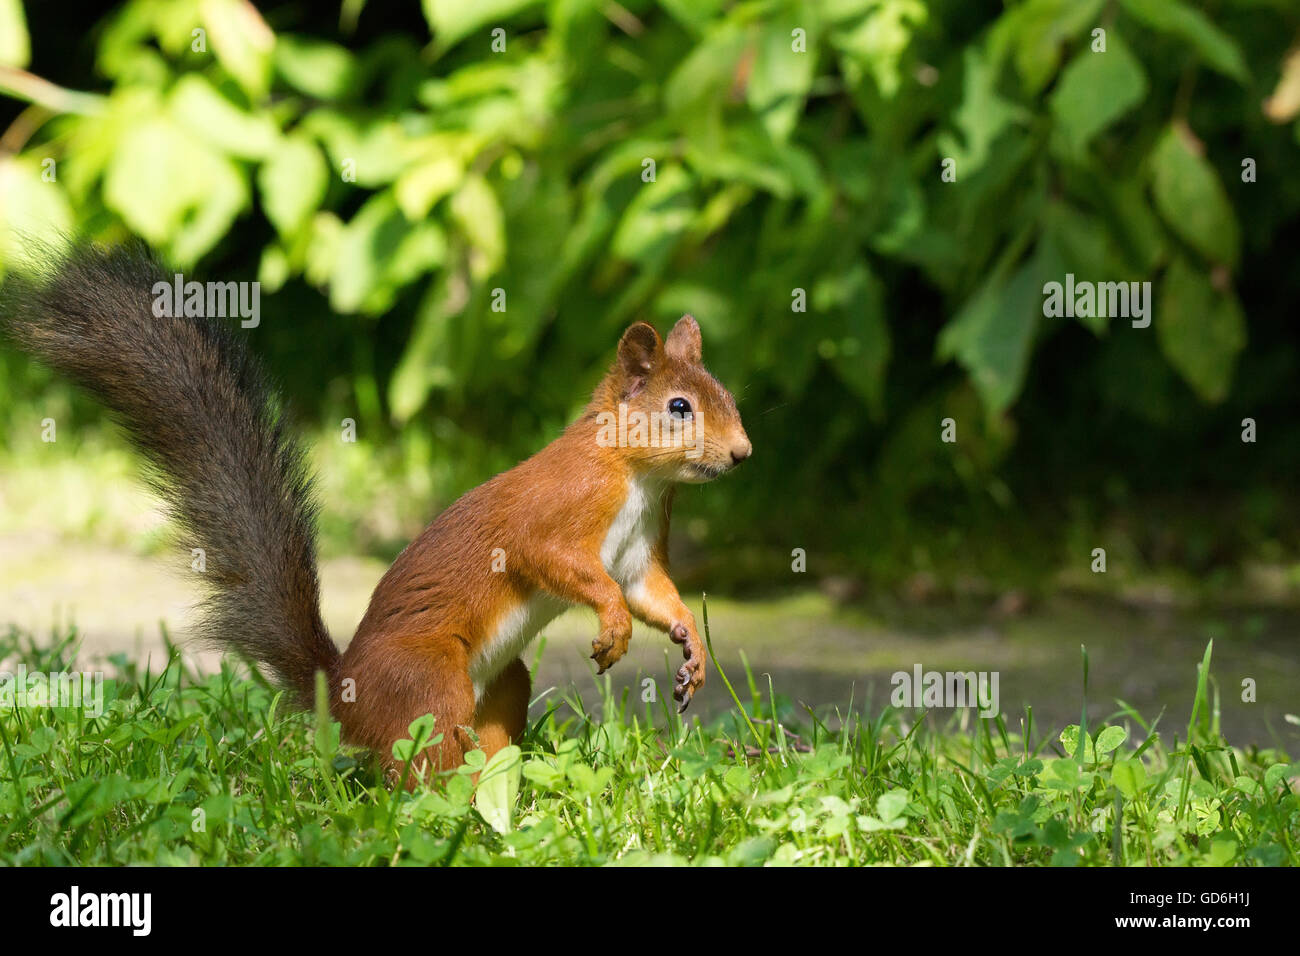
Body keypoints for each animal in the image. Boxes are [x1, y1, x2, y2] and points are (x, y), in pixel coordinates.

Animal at [2, 242, 751, 781]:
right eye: (679, 407)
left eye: (726, 394)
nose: (742, 453)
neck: (636, 476)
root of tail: (344, 694)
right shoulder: (558, 510)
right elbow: (559, 563)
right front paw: (612, 629)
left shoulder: (639, 547)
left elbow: (651, 591)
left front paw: (690, 647)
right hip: (427, 682)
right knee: (419, 764)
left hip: (501, 681)